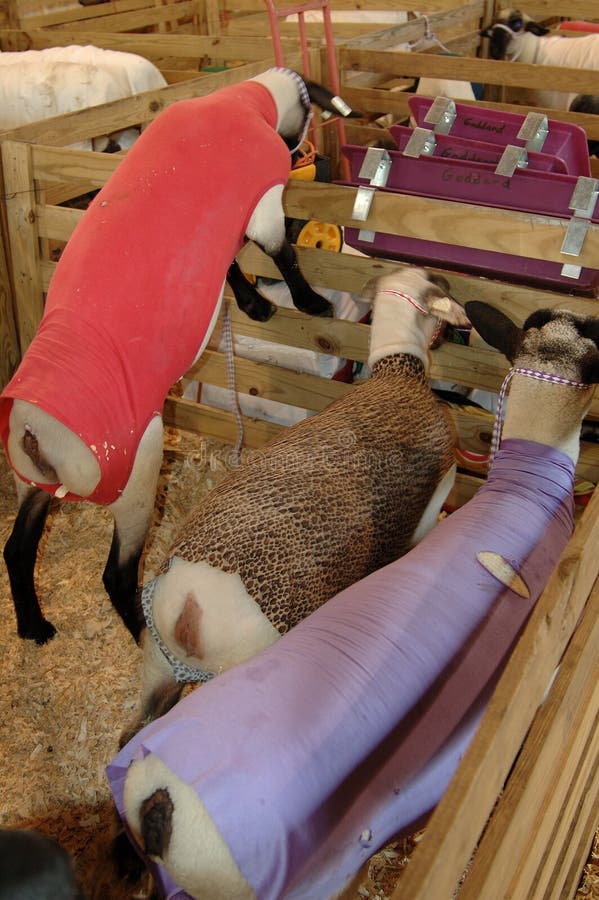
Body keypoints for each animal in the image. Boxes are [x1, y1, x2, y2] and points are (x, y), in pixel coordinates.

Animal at [0, 68, 360, 646]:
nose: (297, 150)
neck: (246, 99)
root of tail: (36, 432)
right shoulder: (263, 201)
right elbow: (279, 252)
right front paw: (308, 301)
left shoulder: (222, 230)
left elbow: (231, 261)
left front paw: (255, 304)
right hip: (134, 478)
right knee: (116, 573)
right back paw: (142, 633)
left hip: (29, 479)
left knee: (17, 549)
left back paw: (35, 626)